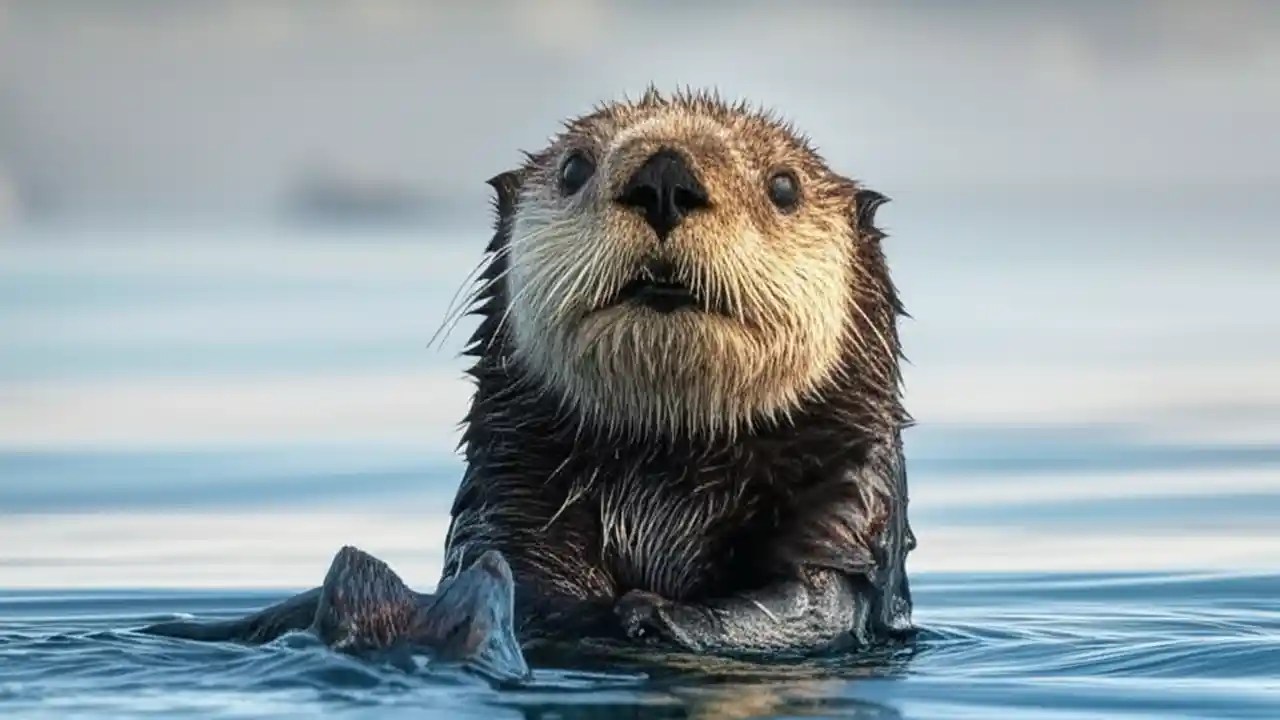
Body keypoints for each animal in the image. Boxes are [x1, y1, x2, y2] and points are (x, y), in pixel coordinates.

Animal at [141, 88, 915, 665]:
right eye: (573, 169)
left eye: (783, 186)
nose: (665, 177)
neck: (667, 482)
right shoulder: (512, 490)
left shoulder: (842, 506)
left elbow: (808, 600)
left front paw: (644, 613)